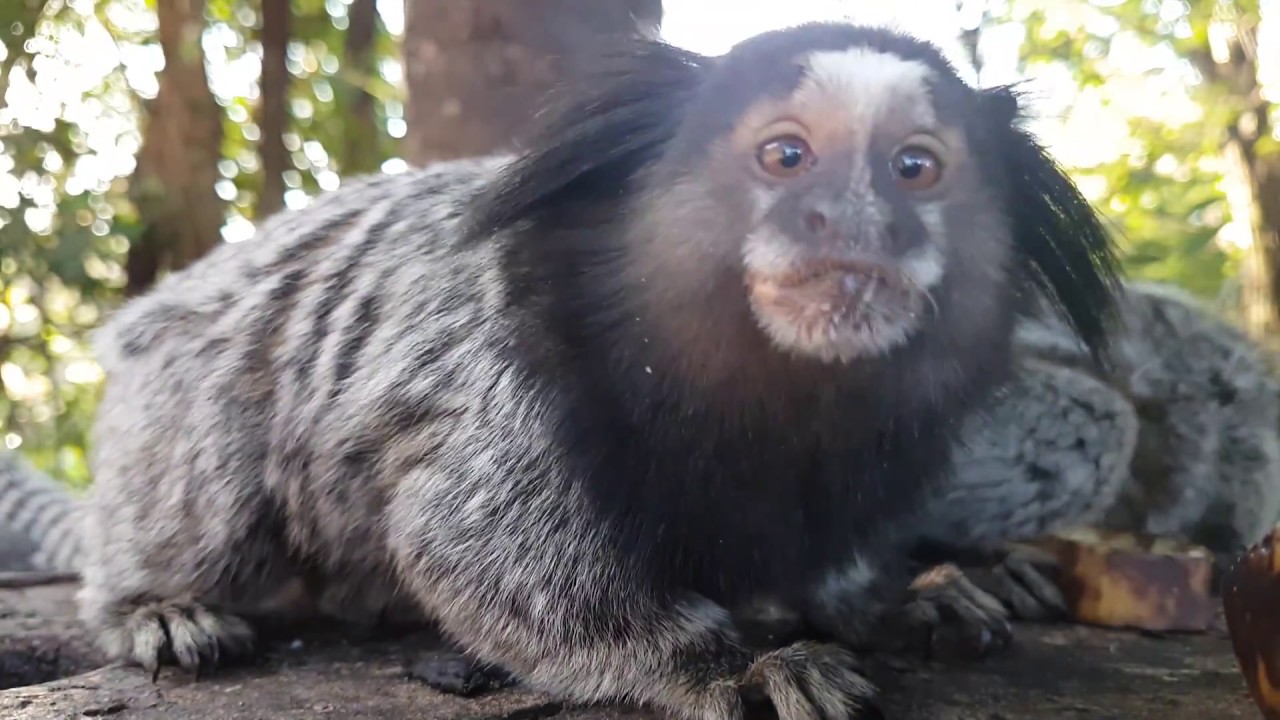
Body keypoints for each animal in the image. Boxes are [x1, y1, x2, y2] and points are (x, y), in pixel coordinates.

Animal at [70, 23, 1126, 720]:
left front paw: (895, 599)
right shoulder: (509, 376)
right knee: (210, 490)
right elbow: (480, 554)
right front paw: (734, 667)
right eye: (786, 155)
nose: (853, 223)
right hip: (182, 385)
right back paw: (160, 605)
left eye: (915, 167)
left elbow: (834, 548)